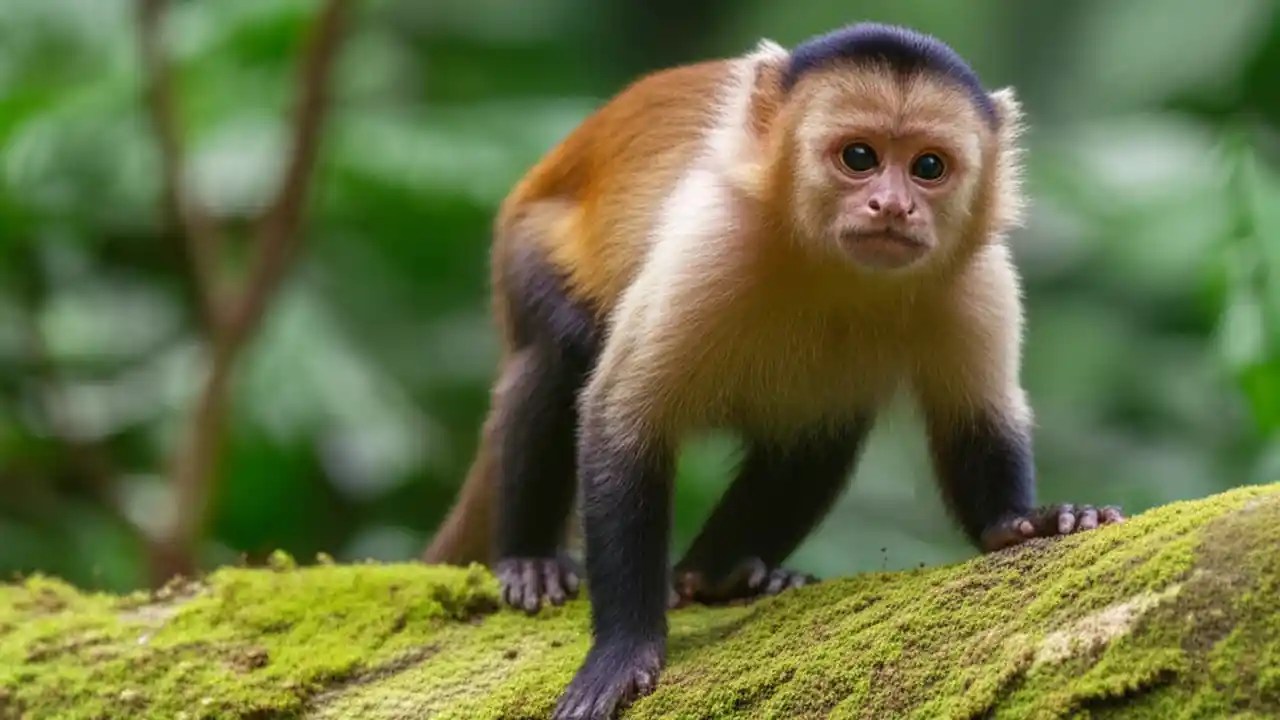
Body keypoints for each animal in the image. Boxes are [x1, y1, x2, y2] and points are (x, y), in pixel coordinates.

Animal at [422, 22, 1126, 719]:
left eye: (929, 167)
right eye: (859, 157)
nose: (892, 206)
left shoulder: (975, 278)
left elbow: (977, 419)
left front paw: (1022, 522)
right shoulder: (710, 240)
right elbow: (622, 421)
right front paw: (622, 650)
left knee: (827, 424)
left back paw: (717, 575)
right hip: (525, 246)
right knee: (561, 351)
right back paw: (532, 558)